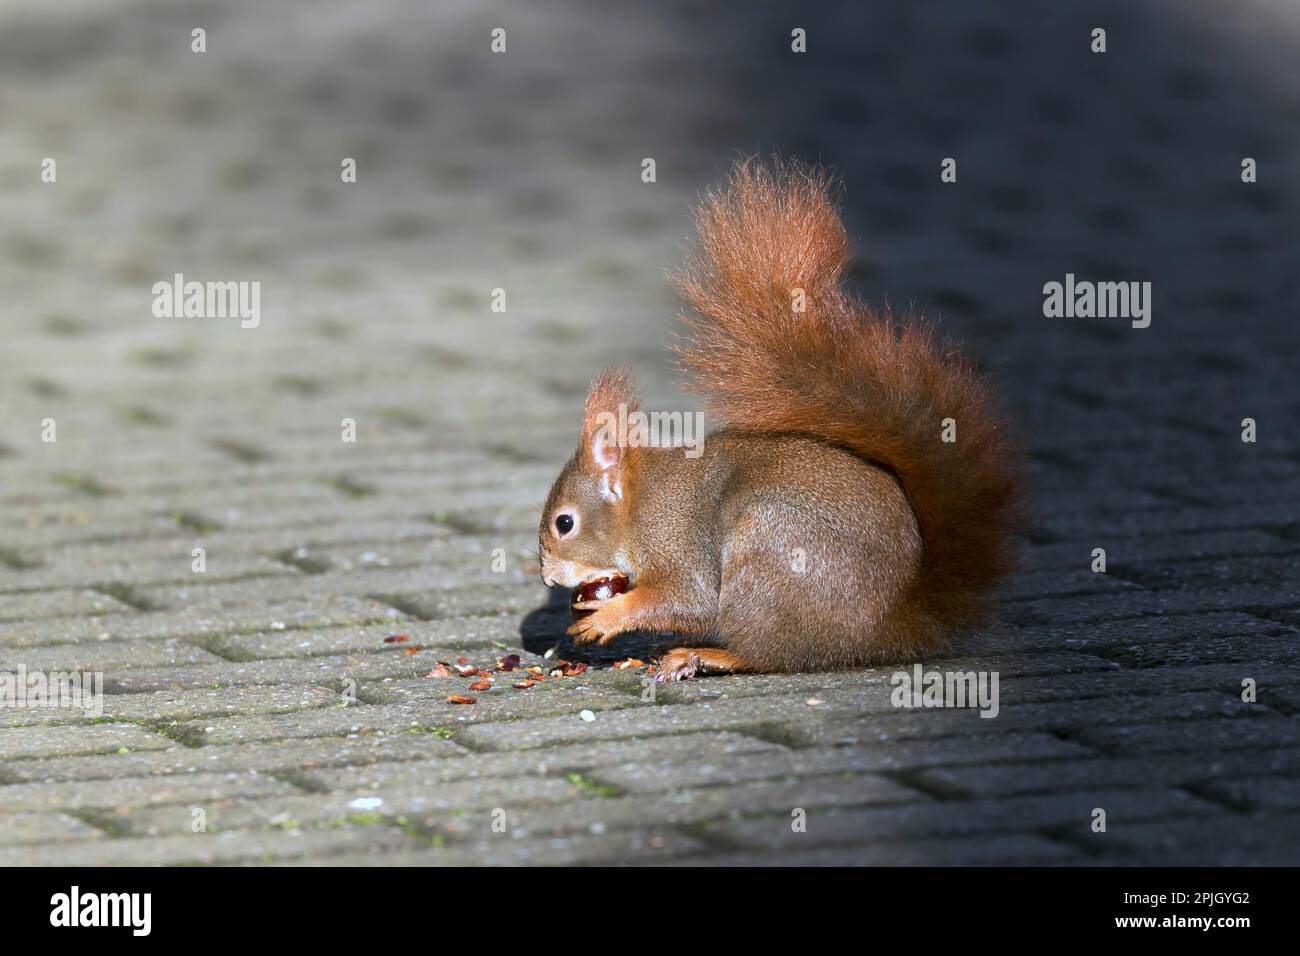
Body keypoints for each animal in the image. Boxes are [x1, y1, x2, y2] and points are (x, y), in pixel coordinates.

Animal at [538, 158, 1021, 682]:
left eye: (565, 523)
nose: (547, 575)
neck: (639, 504)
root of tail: (882, 630)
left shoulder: (678, 544)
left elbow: (688, 598)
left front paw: (608, 616)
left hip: (765, 555)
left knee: (769, 654)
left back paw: (703, 654)